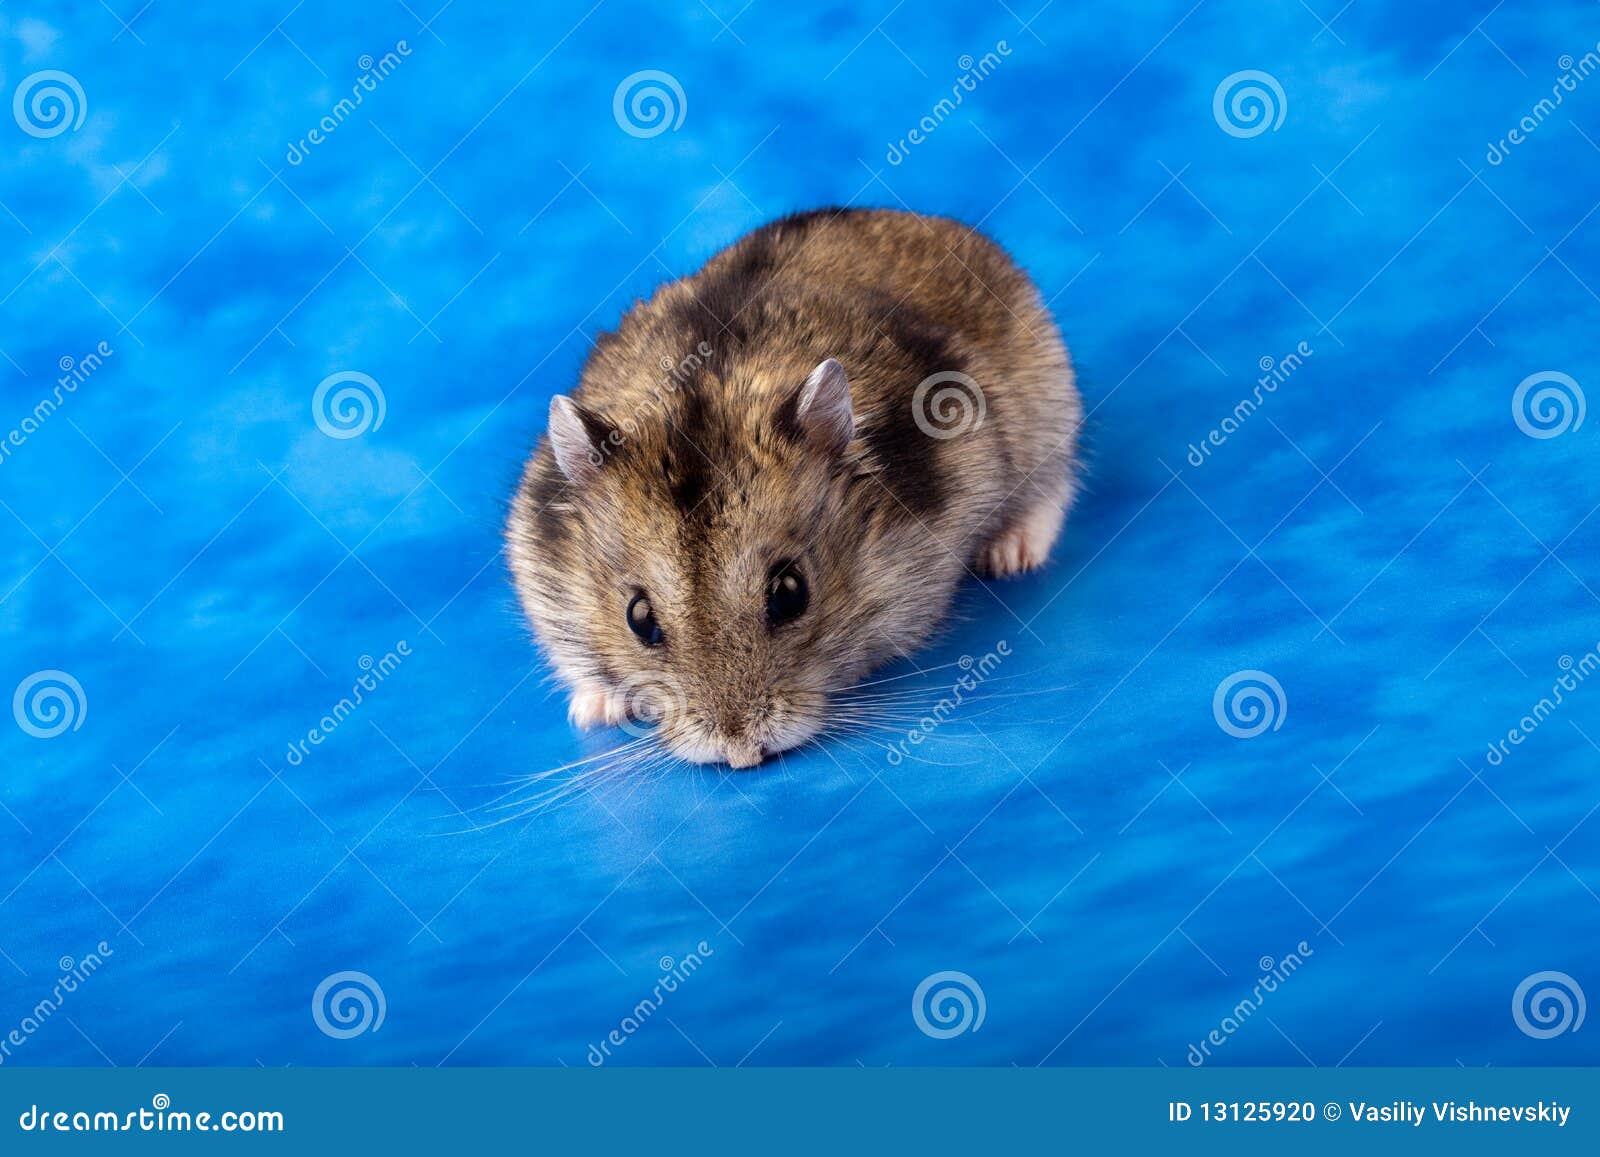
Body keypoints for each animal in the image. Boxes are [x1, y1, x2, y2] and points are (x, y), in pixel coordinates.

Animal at [506, 208, 1081, 768]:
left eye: (790, 593)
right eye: (638, 618)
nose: (742, 756)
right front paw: (593, 711)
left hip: (1049, 409)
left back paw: (1011, 555)